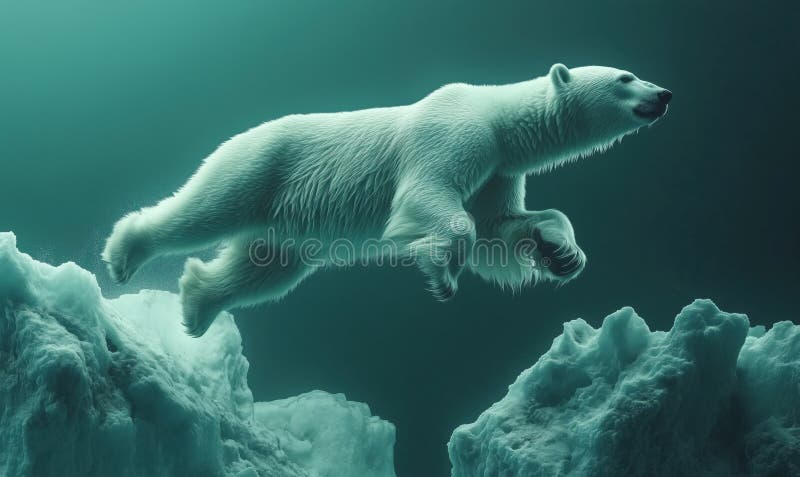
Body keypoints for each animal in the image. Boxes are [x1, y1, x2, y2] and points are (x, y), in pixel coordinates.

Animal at [102, 63, 671, 337]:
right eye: (624, 76)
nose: (664, 93)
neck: (496, 117)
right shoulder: (453, 134)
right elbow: (431, 200)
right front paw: (441, 276)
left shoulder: (498, 169)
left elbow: (502, 228)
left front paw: (562, 252)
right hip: (260, 168)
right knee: (202, 212)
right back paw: (124, 253)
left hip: (286, 224)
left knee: (262, 269)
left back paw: (197, 305)